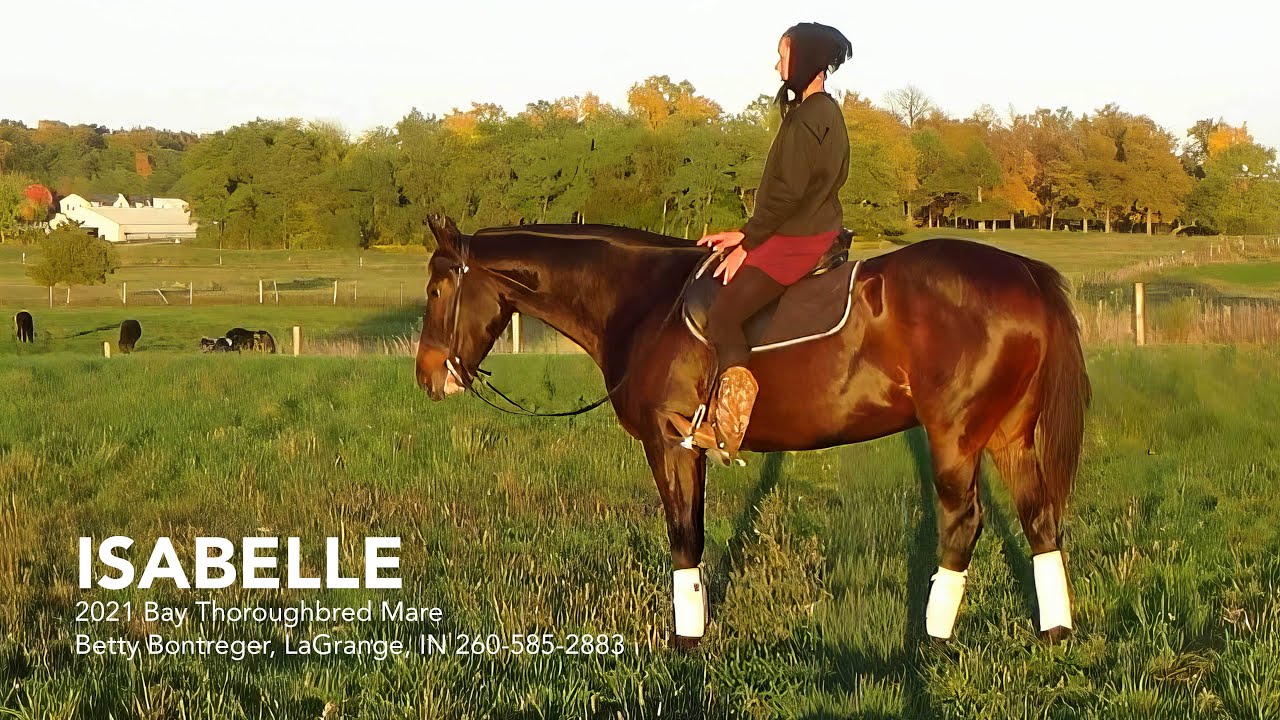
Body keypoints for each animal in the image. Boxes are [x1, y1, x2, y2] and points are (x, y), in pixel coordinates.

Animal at [414, 213, 1090, 647]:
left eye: (438, 288)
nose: (426, 375)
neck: (645, 301)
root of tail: (1024, 273)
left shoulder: (670, 444)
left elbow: (684, 535)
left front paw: (687, 640)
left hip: (955, 436)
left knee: (963, 522)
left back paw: (932, 637)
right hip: (1007, 436)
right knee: (1039, 519)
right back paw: (1054, 630)